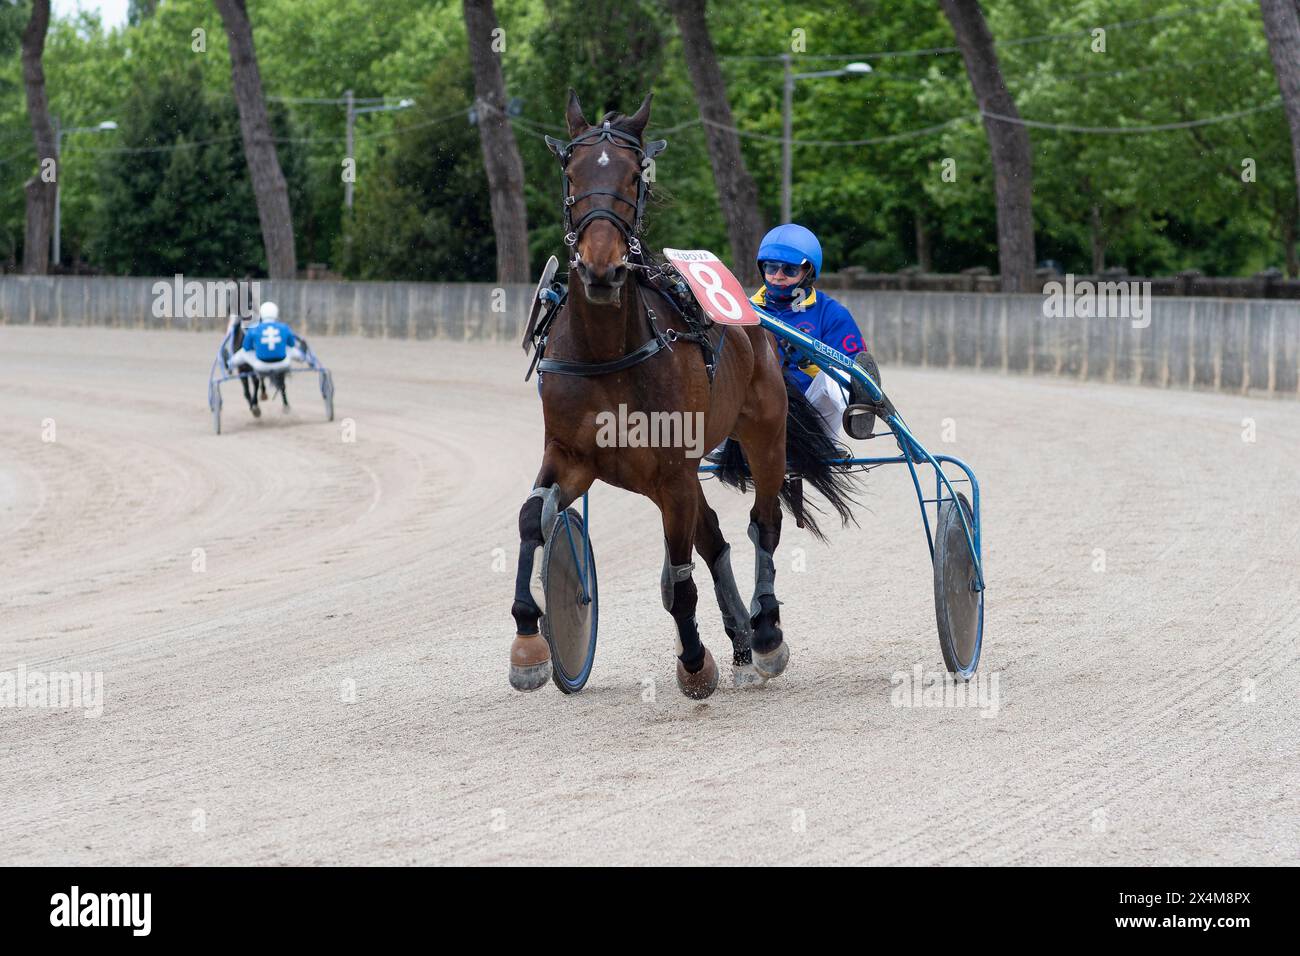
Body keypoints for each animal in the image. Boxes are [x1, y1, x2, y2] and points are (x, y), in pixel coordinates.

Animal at [512, 91, 857, 702]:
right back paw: (741, 635)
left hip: (763, 431)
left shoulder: (672, 471)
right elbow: (533, 519)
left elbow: (678, 583)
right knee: (715, 537)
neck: (607, 351)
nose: (601, 268)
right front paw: (529, 641)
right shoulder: (572, 456)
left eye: (634, 175)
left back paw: (765, 634)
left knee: (763, 523)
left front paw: (695, 662)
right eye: (572, 172)